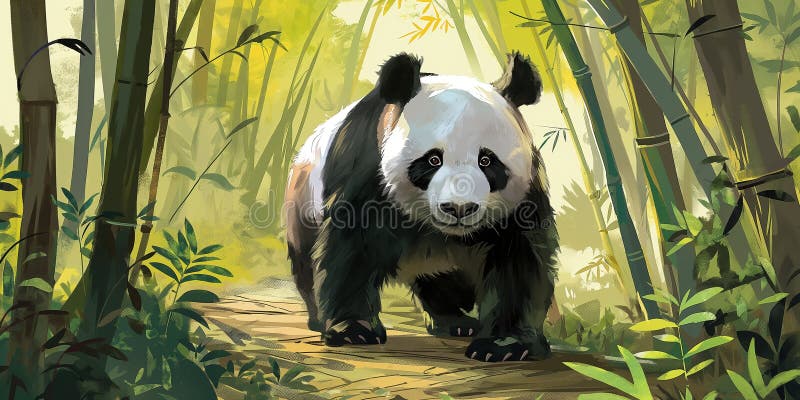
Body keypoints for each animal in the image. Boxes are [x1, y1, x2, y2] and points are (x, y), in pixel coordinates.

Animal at [285, 52, 559, 362]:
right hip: (302, 203)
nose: (459, 208)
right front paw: (353, 329)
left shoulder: (522, 198)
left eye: (487, 161)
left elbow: (517, 261)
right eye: (433, 160)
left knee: (440, 281)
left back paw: (456, 321)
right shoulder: (369, 172)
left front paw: (504, 344)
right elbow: (352, 248)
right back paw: (318, 318)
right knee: (307, 261)